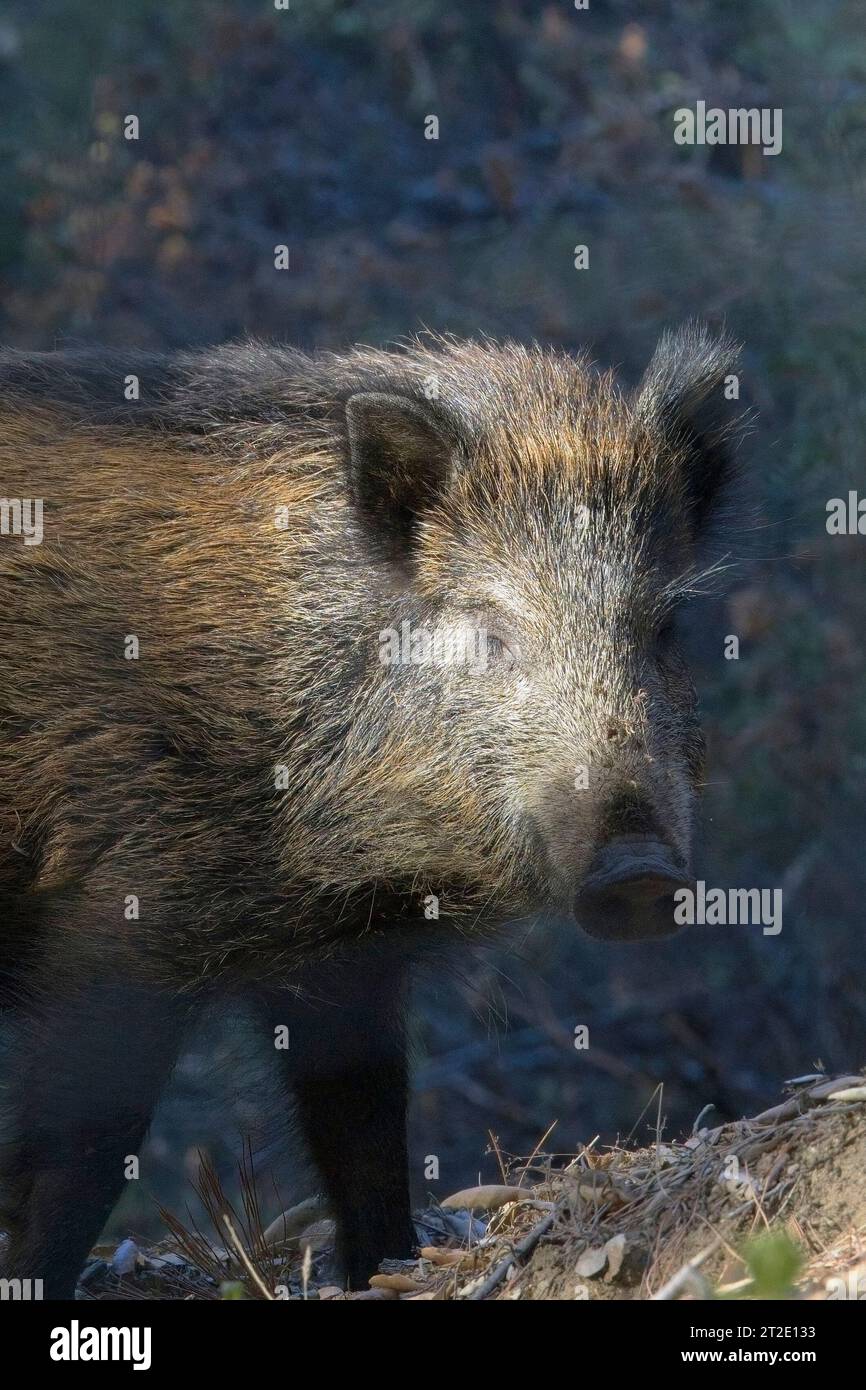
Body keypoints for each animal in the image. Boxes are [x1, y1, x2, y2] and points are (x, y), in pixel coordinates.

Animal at [0, 323, 742, 1297]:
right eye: (492, 632)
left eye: (662, 631)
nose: (640, 870)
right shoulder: (111, 924)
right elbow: (79, 1156)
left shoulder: (345, 959)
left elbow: (368, 1128)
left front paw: (390, 1265)